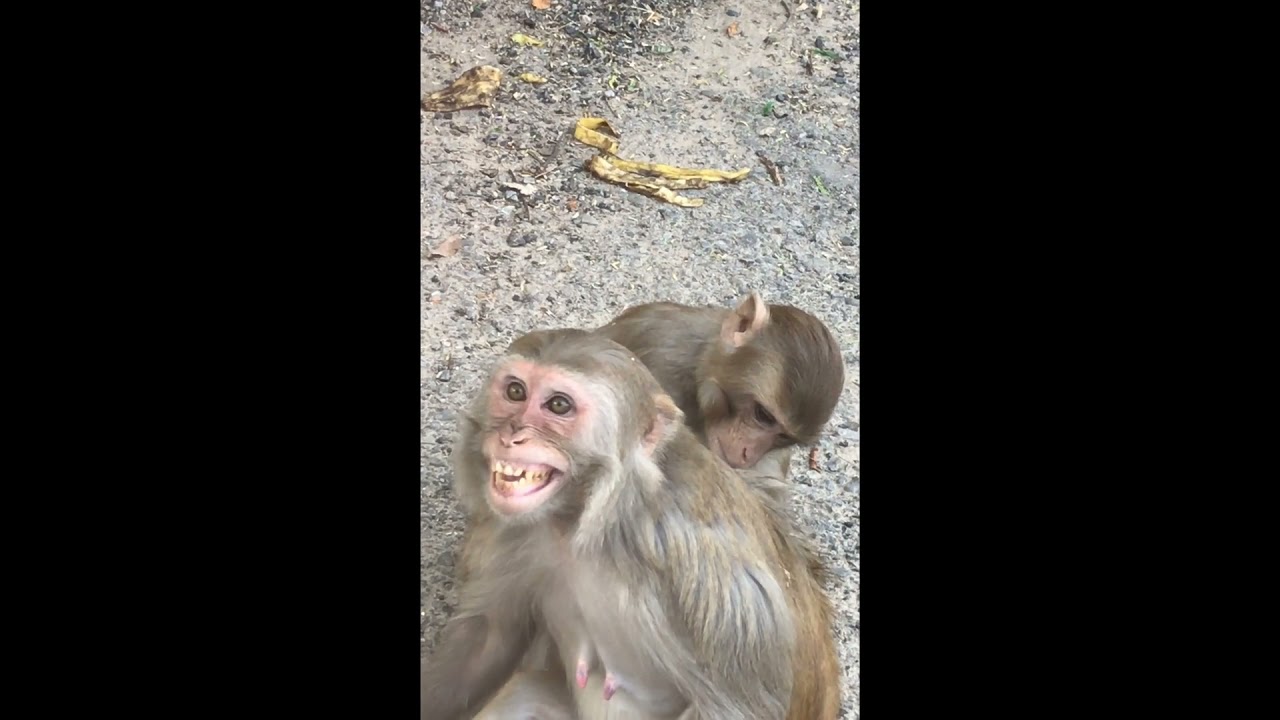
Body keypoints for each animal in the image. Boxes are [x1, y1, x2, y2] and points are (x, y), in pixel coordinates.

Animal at [421, 329, 840, 720]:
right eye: (515, 391)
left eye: (558, 404)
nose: (511, 435)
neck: (587, 521)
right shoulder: (514, 529)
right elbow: (490, 632)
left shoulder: (709, 565)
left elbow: (740, 707)